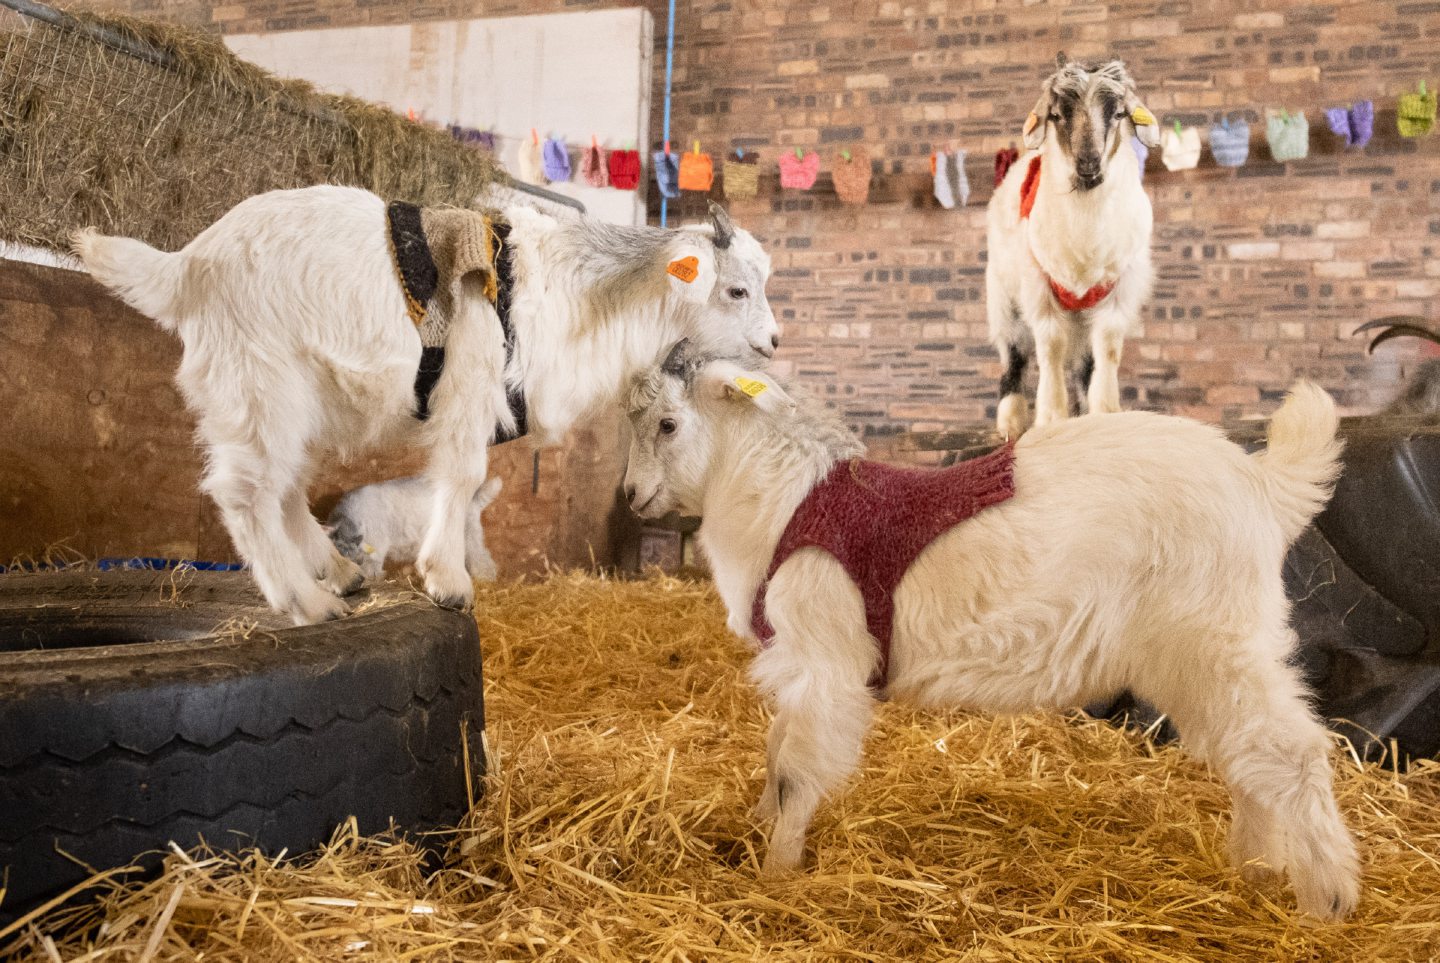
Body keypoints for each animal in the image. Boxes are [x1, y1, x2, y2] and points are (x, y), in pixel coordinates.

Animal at [326, 475, 502, 583]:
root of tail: (473, 498)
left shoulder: (376, 548)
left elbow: (372, 571)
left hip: (469, 535)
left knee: (481, 558)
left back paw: (485, 580)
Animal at [622, 342, 1360, 921]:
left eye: (668, 423)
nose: (629, 497)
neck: (784, 503)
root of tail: (1263, 483)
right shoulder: (799, 666)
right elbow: (775, 756)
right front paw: (756, 831)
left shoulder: (826, 664)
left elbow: (796, 773)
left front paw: (776, 871)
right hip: (1203, 652)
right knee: (1249, 757)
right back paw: (1253, 870)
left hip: (1219, 638)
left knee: (1291, 752)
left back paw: (1327, 897)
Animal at [986, 54, 1158, 438]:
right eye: (1057, 115)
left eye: (1118, 114)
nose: (1088, 164)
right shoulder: (1038, 286)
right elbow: (1050, 346)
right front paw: (1051, 417)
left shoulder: (1118, 289)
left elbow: (1107, 348)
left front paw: (1105, 412)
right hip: (1003, 296)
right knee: (1014, 356)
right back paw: (1010, 422)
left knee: (1084, 363)